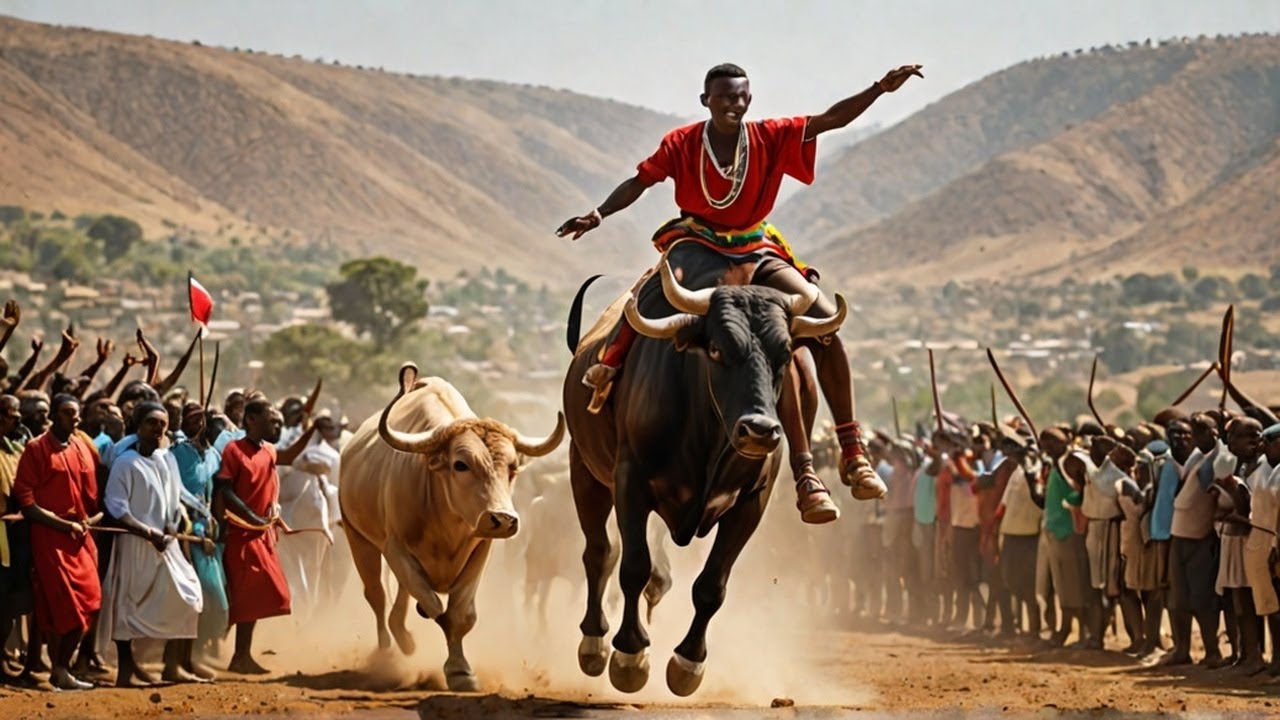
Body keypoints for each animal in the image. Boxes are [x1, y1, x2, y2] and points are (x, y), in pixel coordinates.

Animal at [339, 365, 565, 691]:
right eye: (461, 464)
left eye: (512, 468)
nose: (503, 519)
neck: (444, 518)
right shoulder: (395, 549)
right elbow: (434, 605)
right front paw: (453, 666)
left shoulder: (480, 551)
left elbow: (459, 614)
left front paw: (461, 671)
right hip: (359, 539)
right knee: (377, 596)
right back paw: (386, 652)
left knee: (399, 600)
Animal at [563, 244, 847, 696]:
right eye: (716, 349)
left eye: (785, 353)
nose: (759, 430)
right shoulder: (630, 483)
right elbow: (633, 566)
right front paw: (630, 655)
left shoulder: (751, 503)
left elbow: (712, 585)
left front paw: (688, 663)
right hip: (585, 474)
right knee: (599, 553)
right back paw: (594, 643)